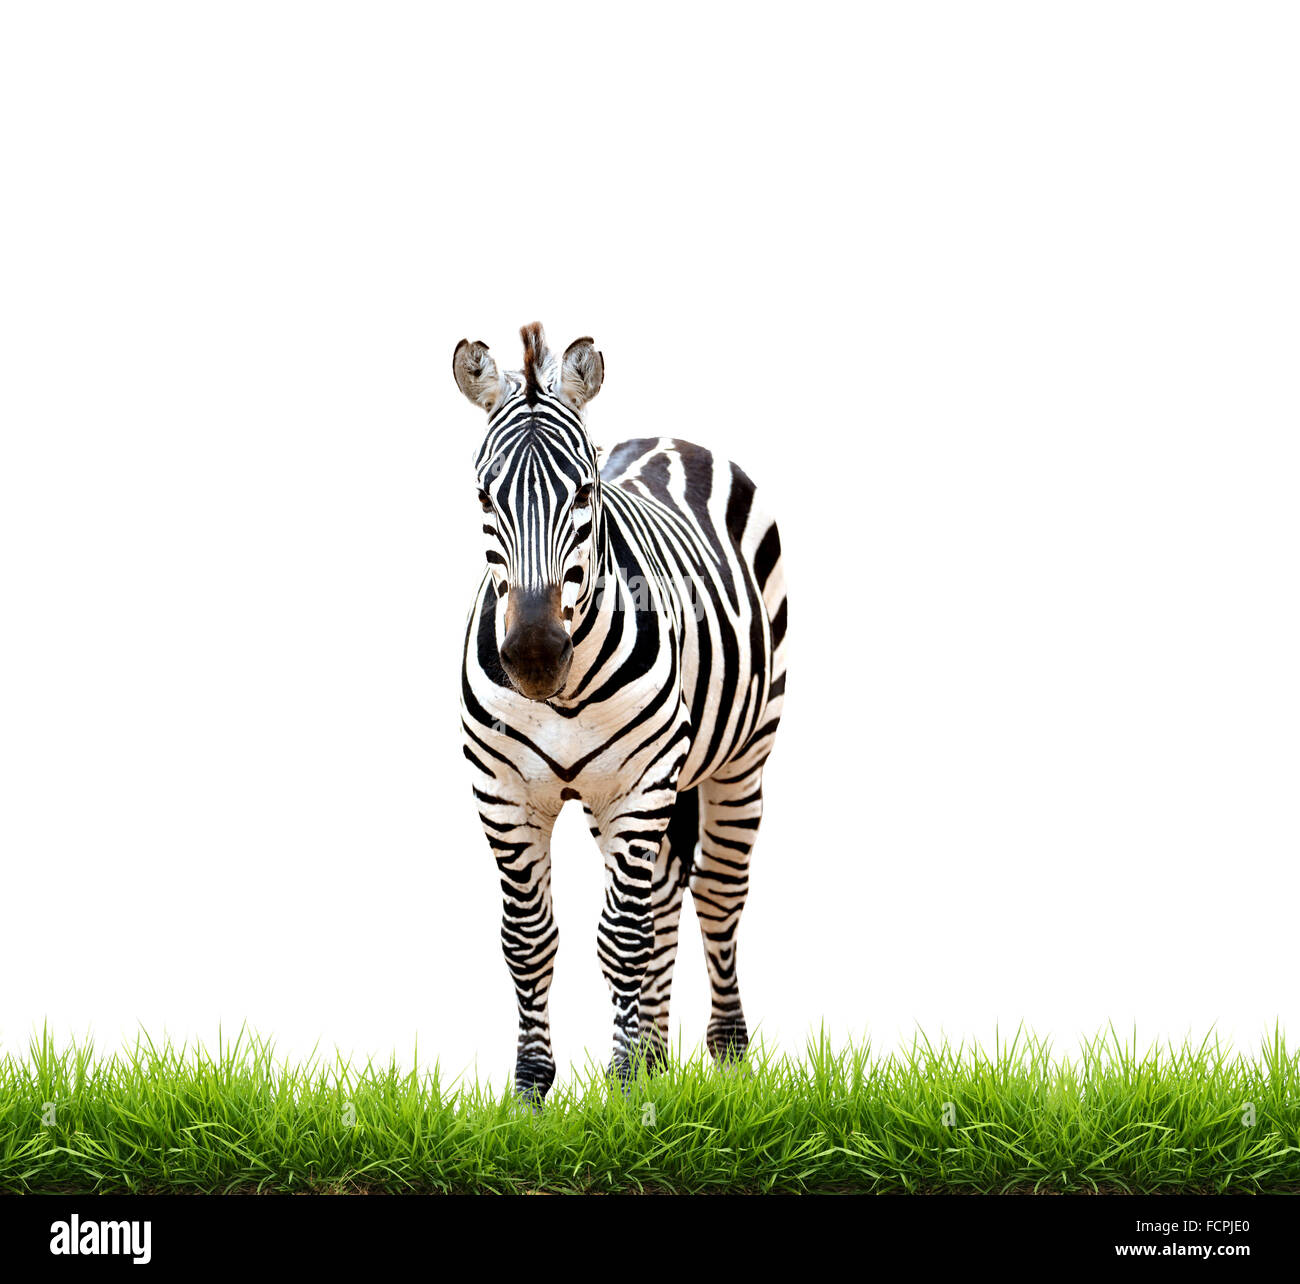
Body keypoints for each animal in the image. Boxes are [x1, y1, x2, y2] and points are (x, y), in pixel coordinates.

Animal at [453, 323, 787, 1103]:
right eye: (483, 494)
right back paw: (659, 1056)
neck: (565, 692)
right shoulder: (502, 794)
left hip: (740, 755)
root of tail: (668, 437)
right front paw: (534, 1089)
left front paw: (629, 1090)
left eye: (583, 492)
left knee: (714, 893)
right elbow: (528, 939)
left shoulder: (639, 785)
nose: (535, 655)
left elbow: (622, 936)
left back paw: (725, 1056)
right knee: (664, 892)